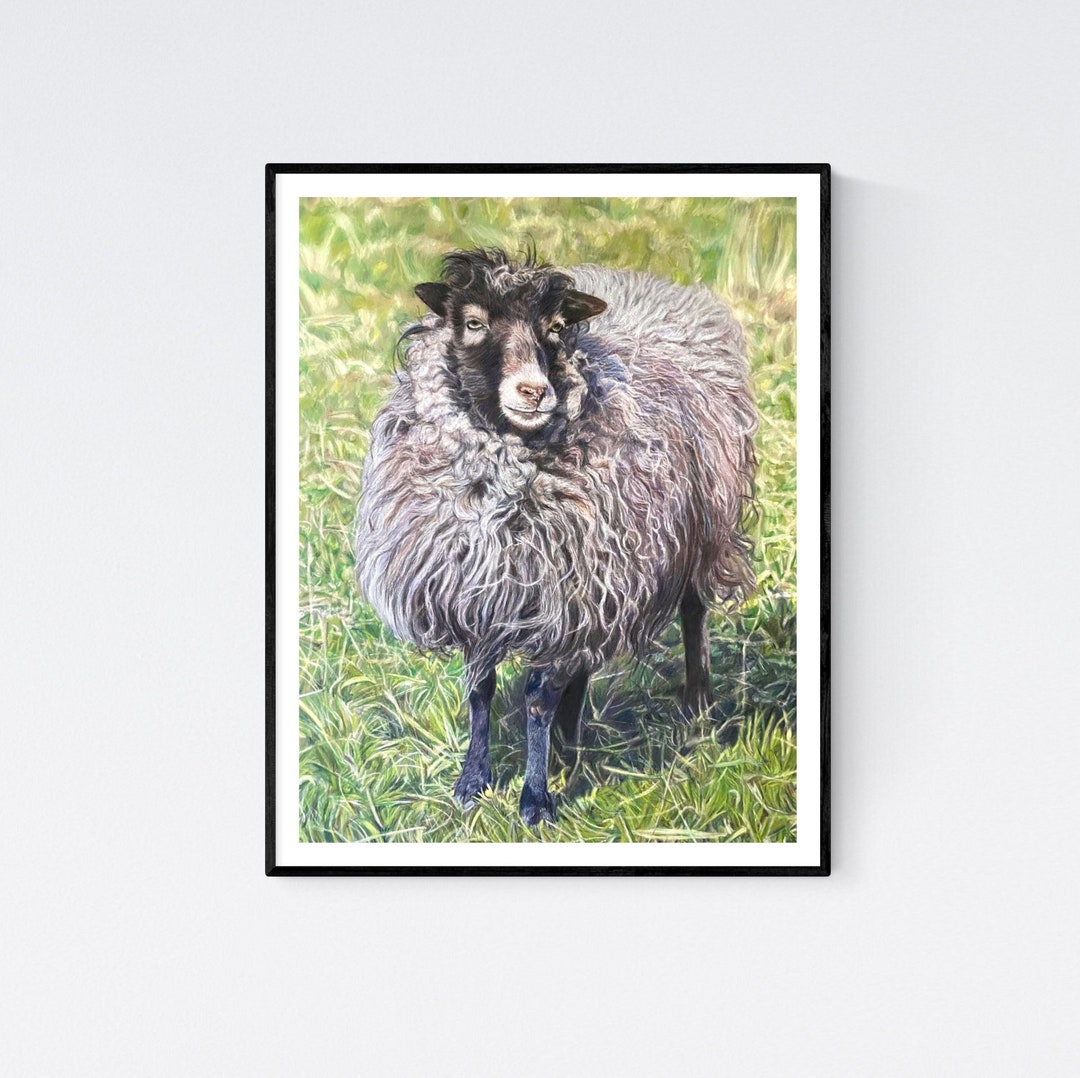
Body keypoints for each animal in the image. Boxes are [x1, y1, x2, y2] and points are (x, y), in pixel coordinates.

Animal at [353, 247, 757, 825]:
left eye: (556, 328)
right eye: (473, 322)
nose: (534, 391)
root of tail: (647, 281)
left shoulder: (567, 588)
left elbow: (538, 699)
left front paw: (535, 800)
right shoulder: (485, 597)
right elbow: (480, 692)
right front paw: (473, 783)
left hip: (699, 528)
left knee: (693, 609)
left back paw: (696, 703)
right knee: (585, 659)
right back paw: (571, 742)